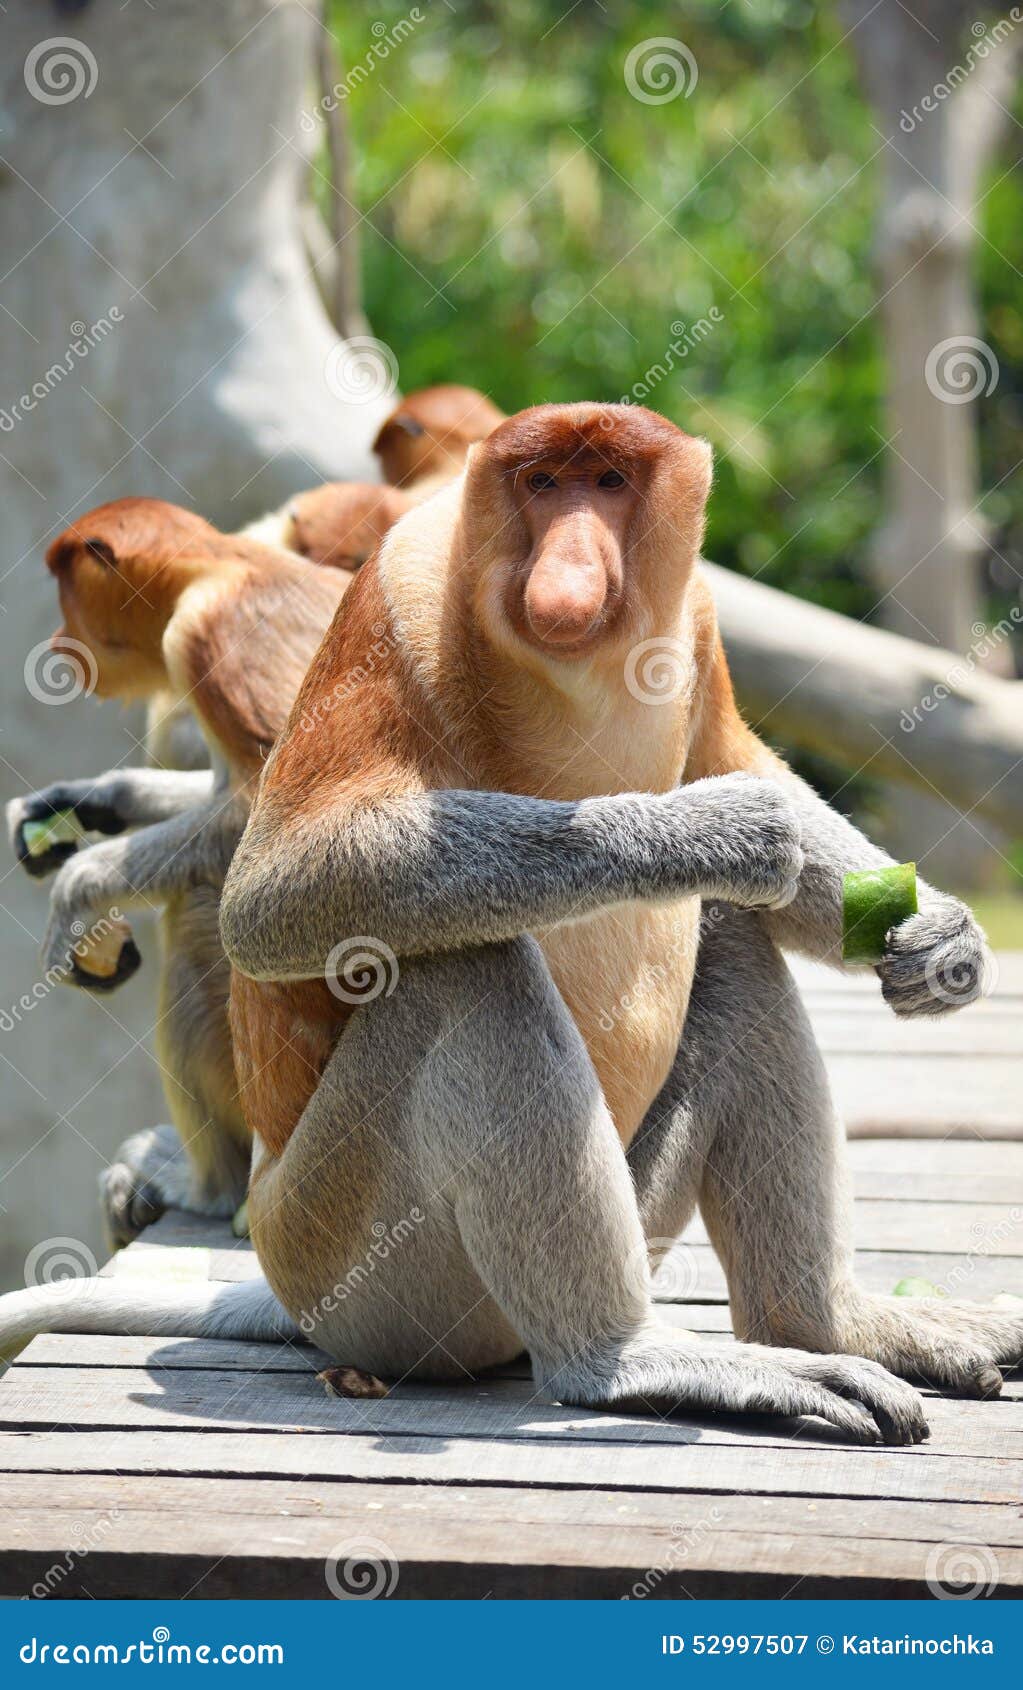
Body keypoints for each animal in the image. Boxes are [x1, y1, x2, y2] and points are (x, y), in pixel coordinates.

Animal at [7, 497, 354, 1245]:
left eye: (66, 590)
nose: (59, 641)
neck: (219, 563)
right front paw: (78, 804)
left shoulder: (208, 637)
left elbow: (273, 811)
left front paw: (77, 893)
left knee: (197, 917)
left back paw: (209, 1191)